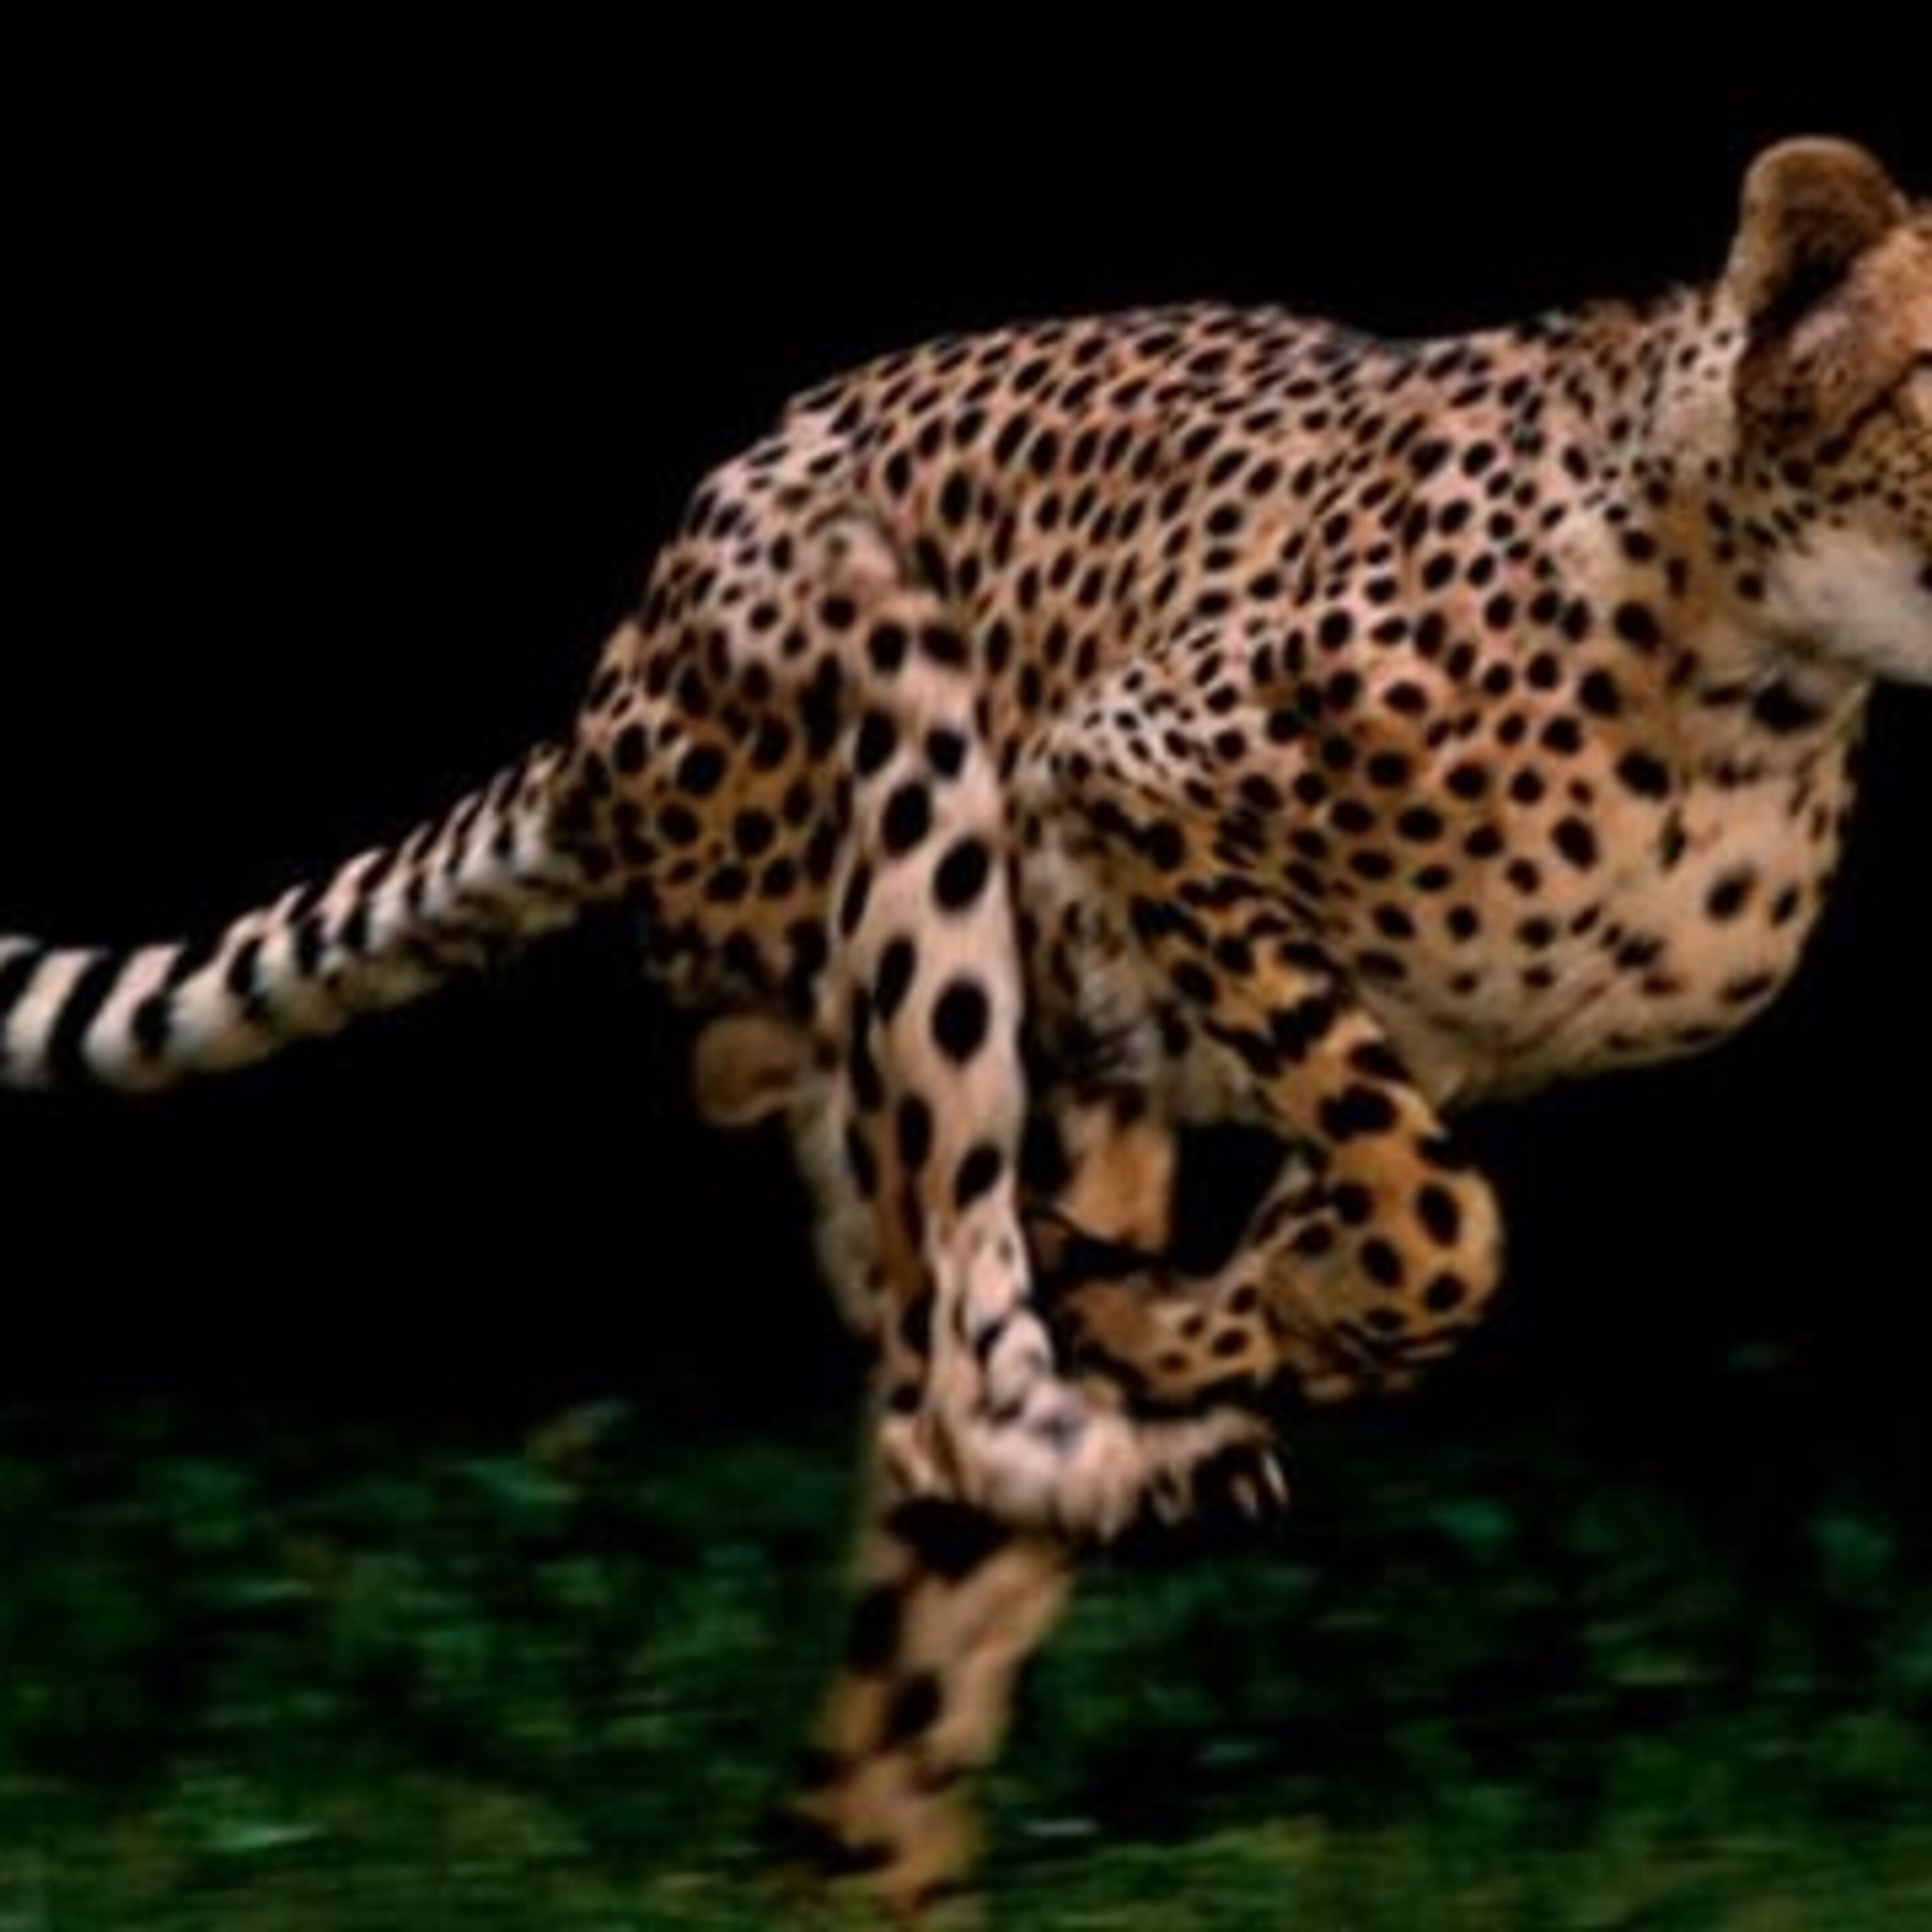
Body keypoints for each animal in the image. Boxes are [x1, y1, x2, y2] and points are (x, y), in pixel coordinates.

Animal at [2, 135, 1927, 1911]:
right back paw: (1108, 1433)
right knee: (918, 1342)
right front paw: (1276, 1322)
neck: (1759, 662)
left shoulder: (1427, 1050)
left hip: (1034, 1067)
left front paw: (1253, 1317)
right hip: (885, 703)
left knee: (918, 1485)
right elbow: (1444, 1220)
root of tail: (598, 718)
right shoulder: (1127, 777)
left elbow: (1381, 1204)